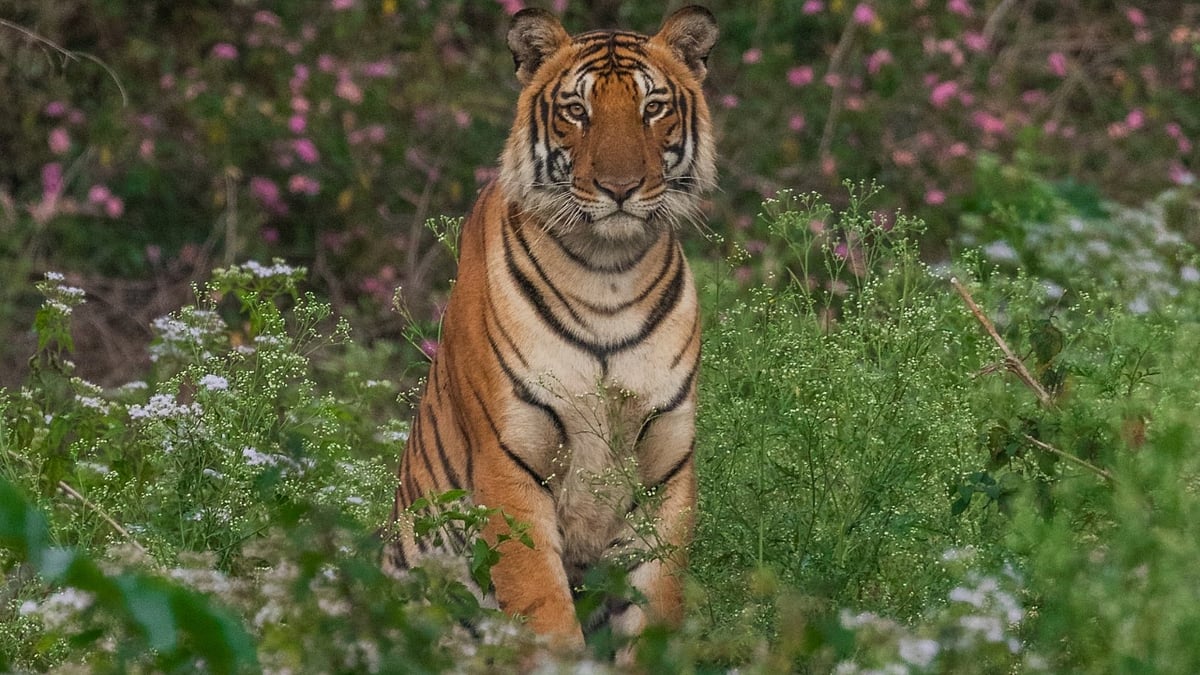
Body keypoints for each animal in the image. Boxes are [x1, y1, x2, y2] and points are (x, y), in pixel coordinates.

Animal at [385, 5, 718, 652]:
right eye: (576, 111)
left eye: (653, 108)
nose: (620, 188)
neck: (609, 274)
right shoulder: (508, 463)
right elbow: (543, 611)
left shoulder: (665, 471)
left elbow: (654, 609)